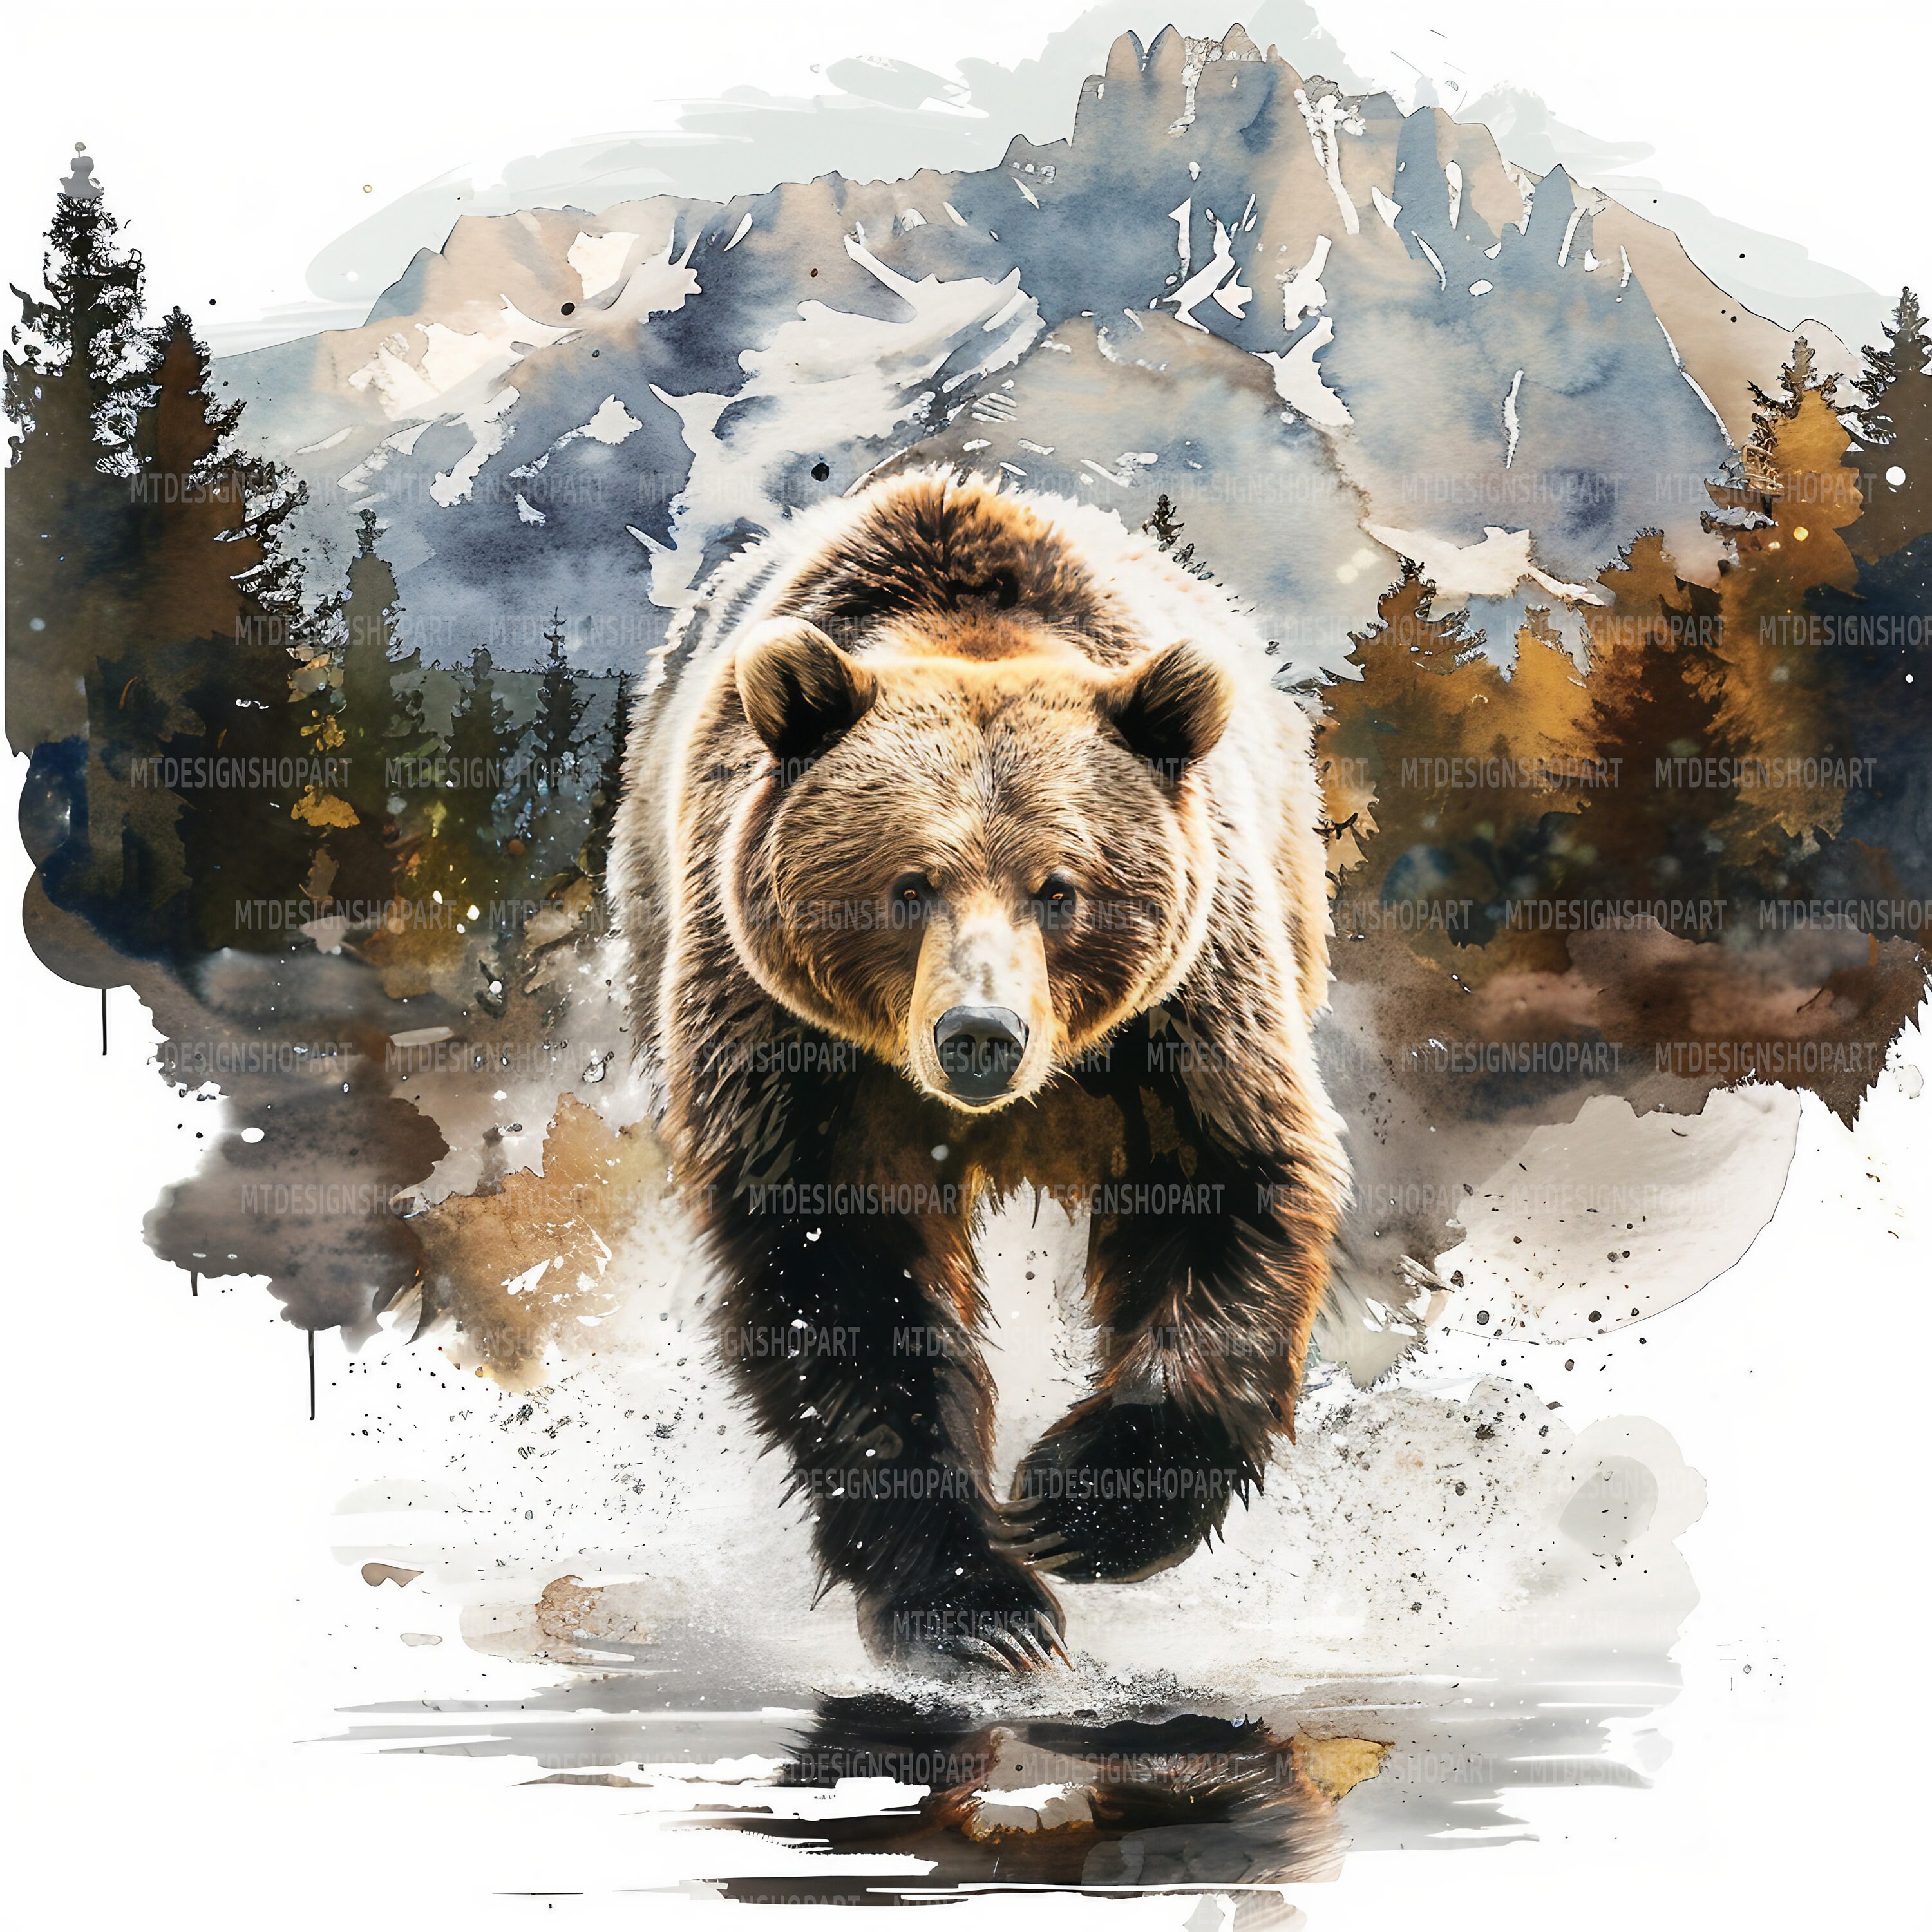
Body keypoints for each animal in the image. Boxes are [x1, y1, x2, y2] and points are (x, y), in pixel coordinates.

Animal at [611, 470, 1347, 1673]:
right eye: (909, 886)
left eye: (1060, 888)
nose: (981, 1033)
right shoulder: (799, 1050)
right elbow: (844, 1278)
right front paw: (976, 1606)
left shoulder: (1188, 1004)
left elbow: (1232, 1183)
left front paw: (1079, 1504)